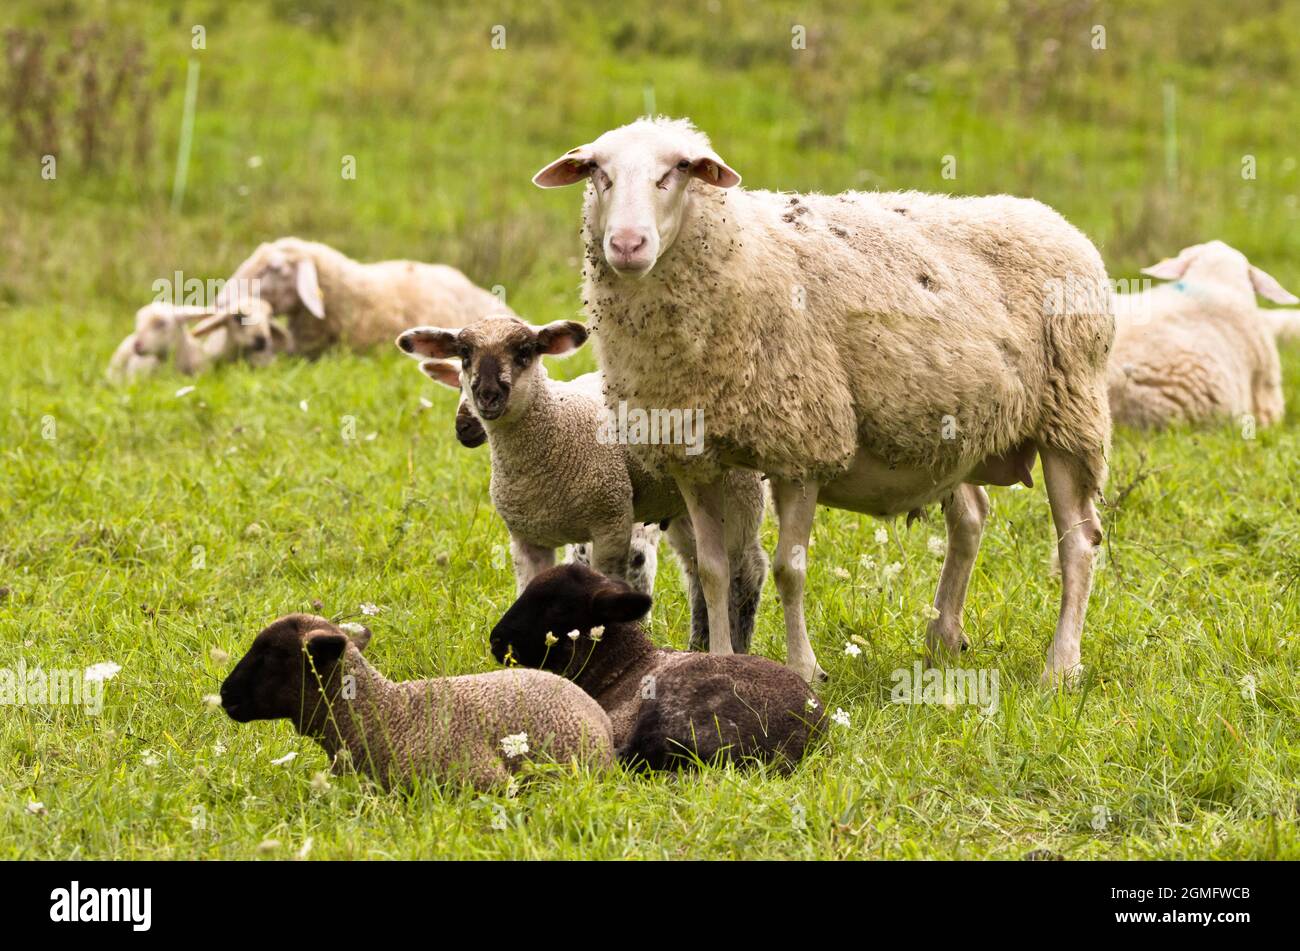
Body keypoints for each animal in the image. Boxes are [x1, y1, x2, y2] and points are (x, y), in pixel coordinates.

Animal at [397, 314, 769, 653]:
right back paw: (698, 645)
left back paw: (736, 645)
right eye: (463, 353)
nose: (486, 397)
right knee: (696, 568)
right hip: (681, 503)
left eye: (524, 351)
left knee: (744, 570)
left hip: (737, 489)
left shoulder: (611, 524)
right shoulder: (526, 539)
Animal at [534, 116, 1114, 685]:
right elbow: (714, 570)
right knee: (970, 520)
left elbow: (789, 570)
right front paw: (719, 660)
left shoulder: (803, 442)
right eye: (598, 172)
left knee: (1078, 544)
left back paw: (1060, 667)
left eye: (678, 169)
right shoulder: (691, 455)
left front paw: (804, 668)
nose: (628, 244)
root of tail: (1056, 221)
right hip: (958, 428)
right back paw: (943, 638)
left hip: (1070, 415)